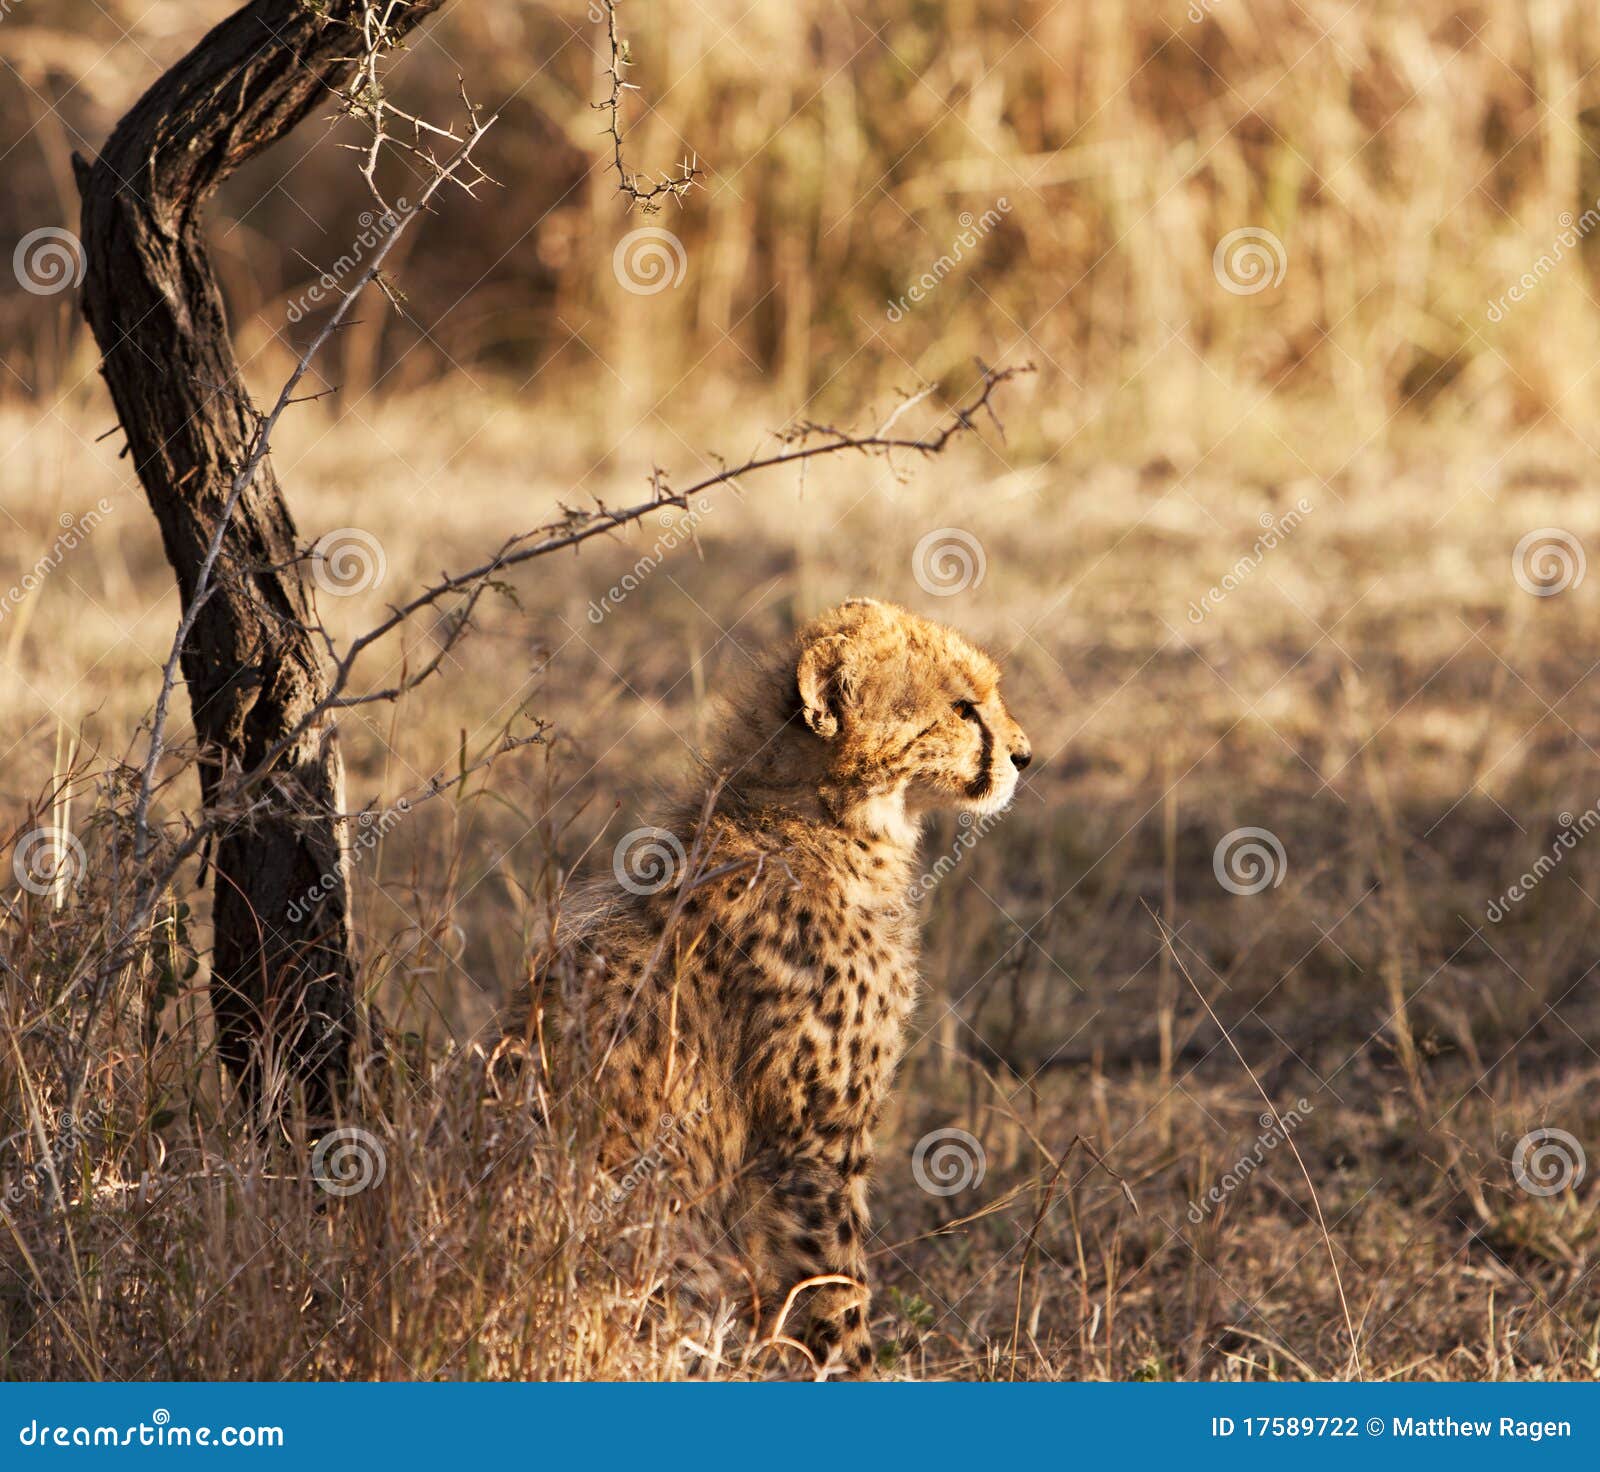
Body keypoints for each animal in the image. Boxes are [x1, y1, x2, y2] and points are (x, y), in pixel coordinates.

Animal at [508, 596, 1031, 1376]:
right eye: (963, 709)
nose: (1026, 756)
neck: (826, 817)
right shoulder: (809, 1148)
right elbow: (835, 1286)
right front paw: (861, 1369)